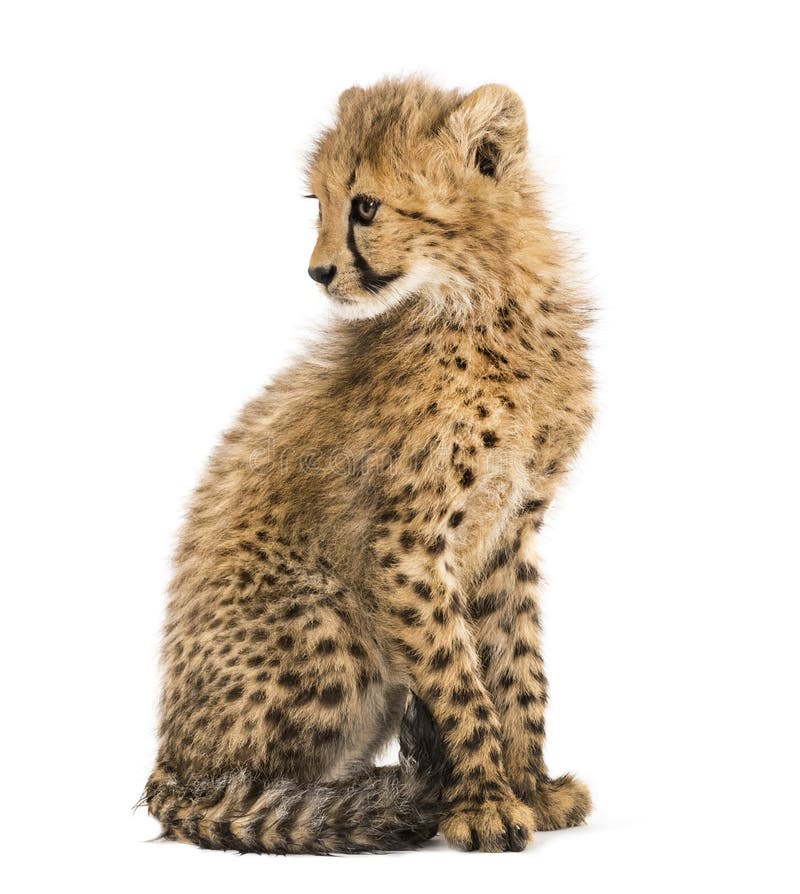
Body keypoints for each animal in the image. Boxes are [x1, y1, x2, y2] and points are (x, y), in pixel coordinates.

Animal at [143, 76, 595, 854]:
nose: (319, 271)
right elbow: (460, 679)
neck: (482, 302)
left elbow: (519, 666)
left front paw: (531, 786)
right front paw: (485, 800)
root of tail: (165, 770)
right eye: (316, 204)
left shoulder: (510, 533)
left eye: (365, 206)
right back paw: (358, 801)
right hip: (331, 623)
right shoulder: (406, 547)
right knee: (247, 791)